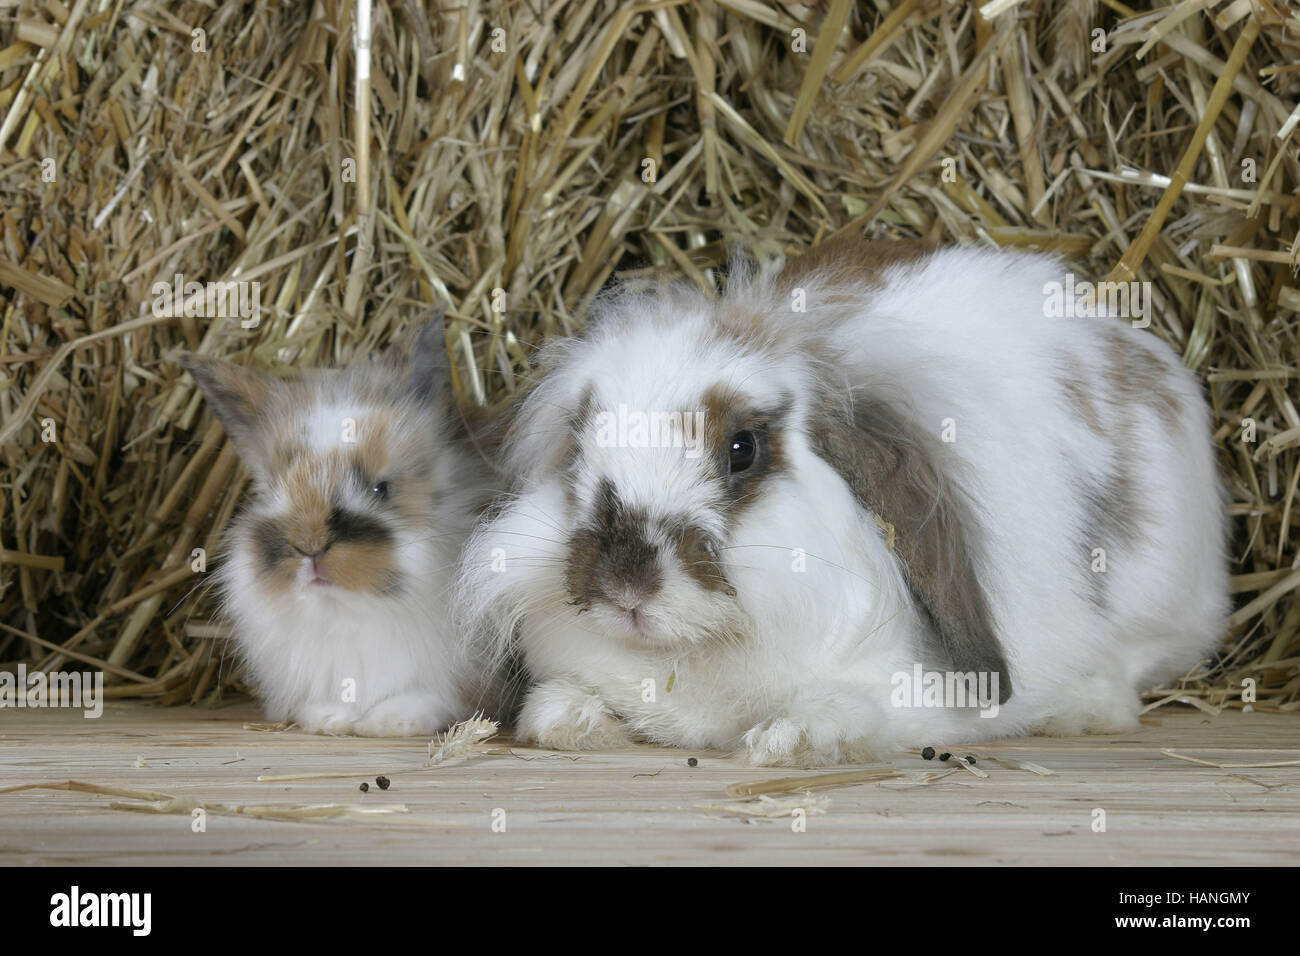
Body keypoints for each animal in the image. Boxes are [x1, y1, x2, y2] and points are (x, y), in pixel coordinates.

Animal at [178, 316, 498, 736]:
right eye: (274, 488)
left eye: (382, 488)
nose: (309, 544)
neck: (350, 612)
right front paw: (330, 718)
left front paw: (392, 720)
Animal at [457, 237, 1229, 767]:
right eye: (578, 449)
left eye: (742, 448)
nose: (623, 585)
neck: (694, 654)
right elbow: (561, 700)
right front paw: (571, 722)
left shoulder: (901, 696)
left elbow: (848, 709)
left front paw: (790, 741)